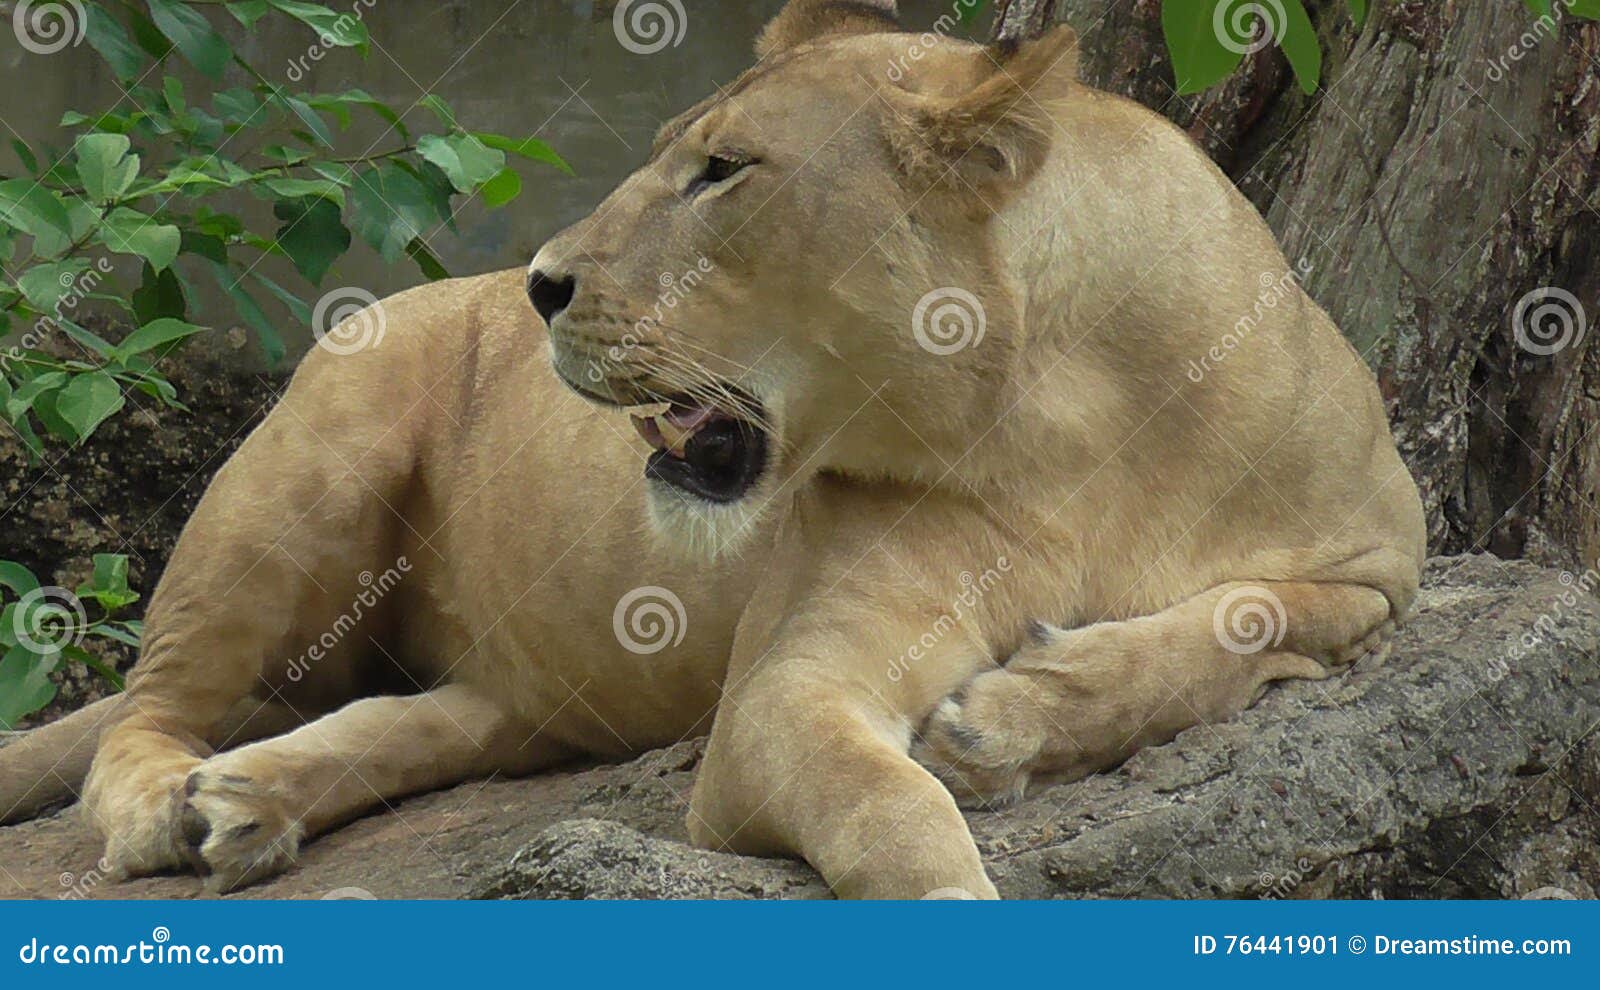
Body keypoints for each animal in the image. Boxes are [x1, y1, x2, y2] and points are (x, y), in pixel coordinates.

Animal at [0, 0, 1424, 899]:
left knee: (417, 718)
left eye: (723, 171)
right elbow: (895, 813)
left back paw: (250, 800)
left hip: (521, 688)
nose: (540, 283)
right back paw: (168, 806)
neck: (1067, 420)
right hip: (307, 462)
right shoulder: (782, 698)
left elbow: (1249, 618)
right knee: (148, 705)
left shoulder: (1385, 560)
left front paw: (1018, 710)